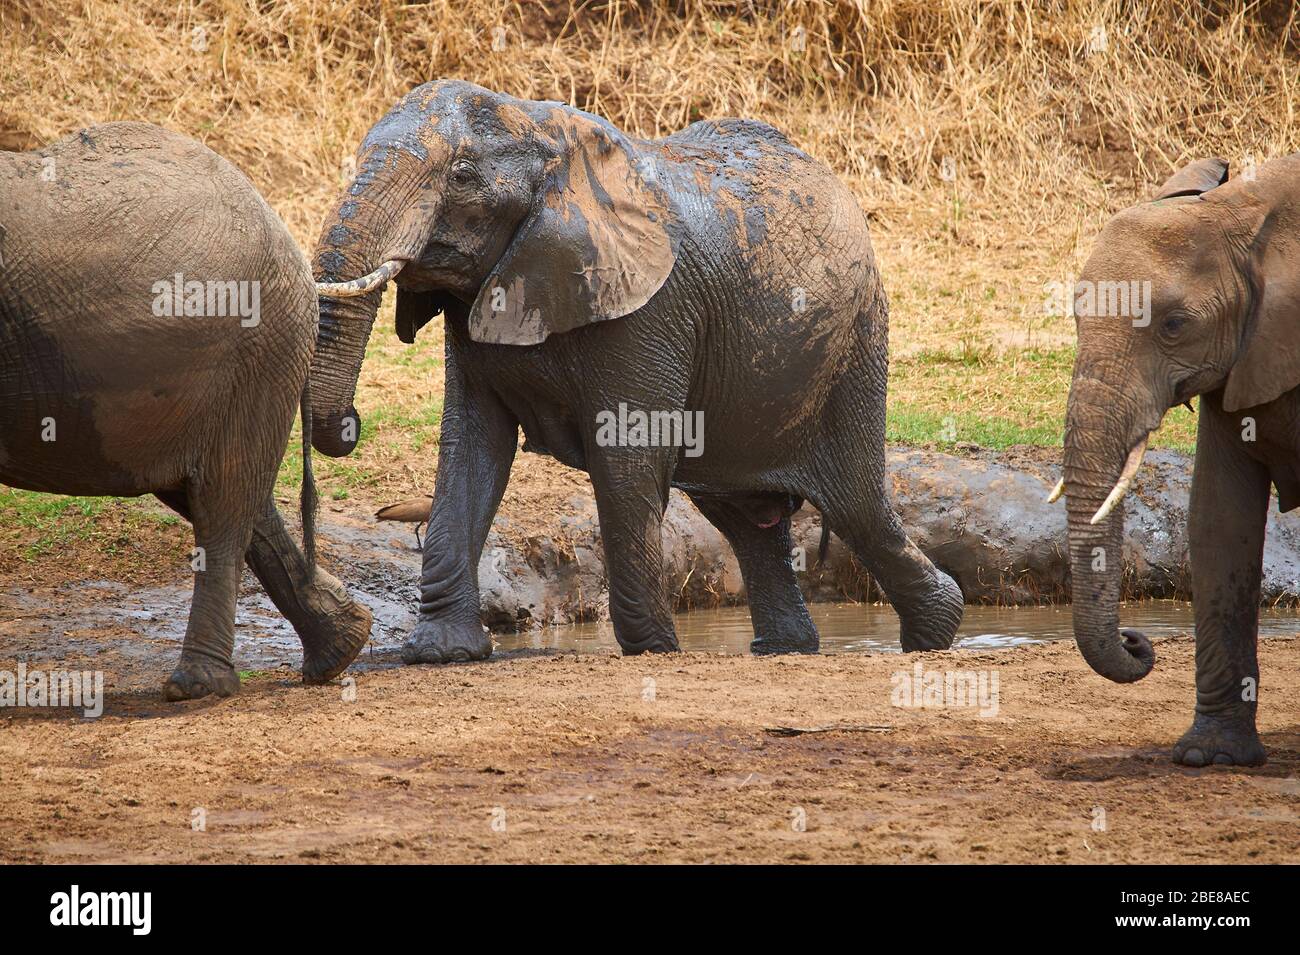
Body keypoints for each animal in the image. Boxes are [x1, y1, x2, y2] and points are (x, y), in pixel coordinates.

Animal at [309, 80, 964, 663]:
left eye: (462, 176)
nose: (351, 422)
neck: (539, 127)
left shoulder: (652, 310)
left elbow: (627, 458)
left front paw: (654, 650)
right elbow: (470, 448)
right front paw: (441, 653)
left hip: (853, 345)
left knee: (856, 504)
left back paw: (935, 631)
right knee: (747, 519)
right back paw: (787, 649)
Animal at [1052, 151, 1299, 766]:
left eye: (1174, 325)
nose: (1136, 639)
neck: (1245, 208)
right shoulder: (1244, 360)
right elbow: (1217, 521)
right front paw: (1209, 757)